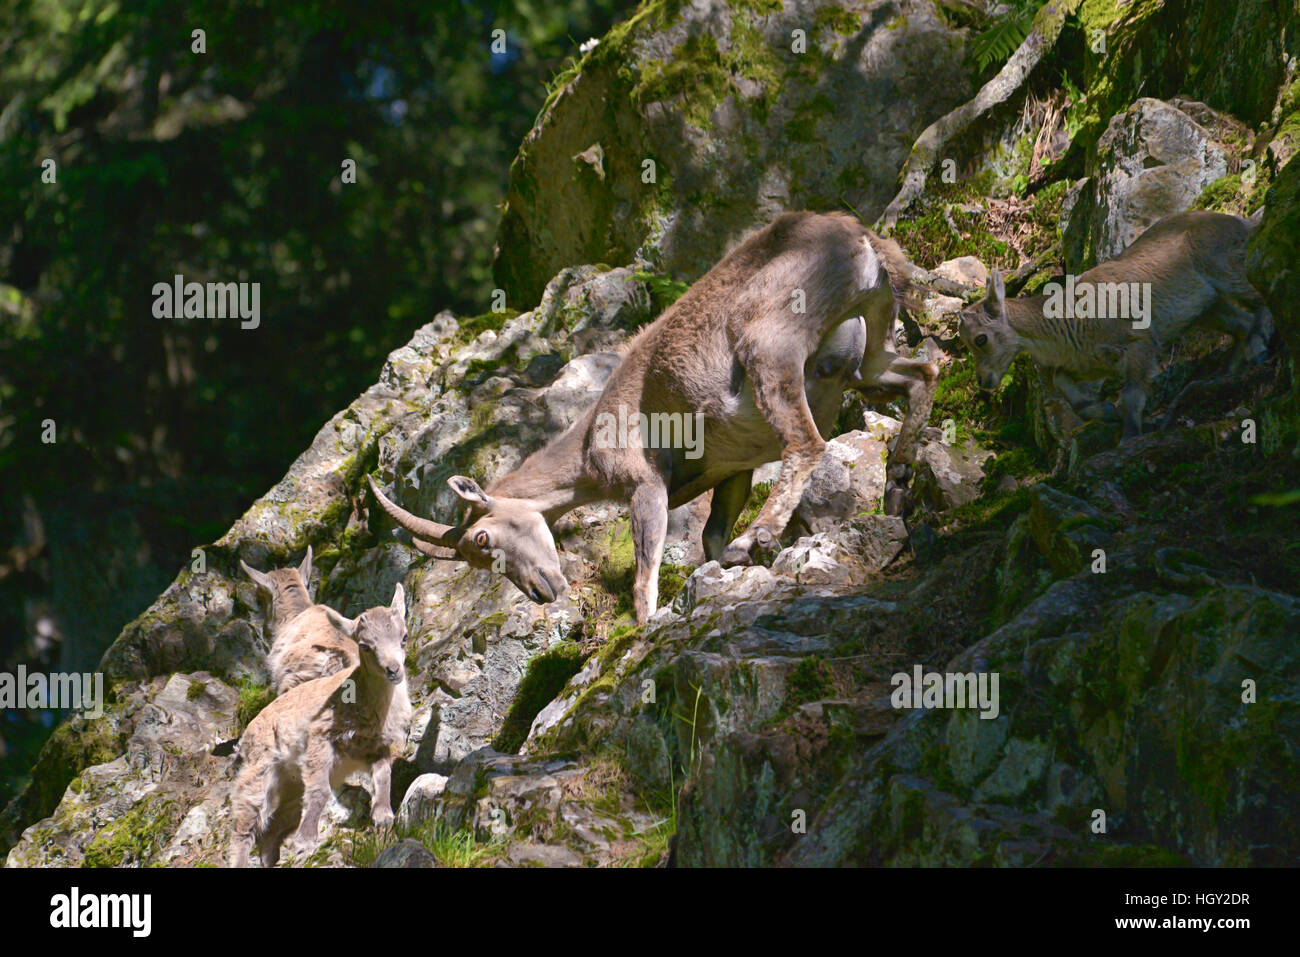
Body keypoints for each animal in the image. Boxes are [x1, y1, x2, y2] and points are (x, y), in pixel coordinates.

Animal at [228, 584, 411, 868]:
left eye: (404, 637)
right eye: (365, 646)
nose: (393, 670)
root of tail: (246, 735)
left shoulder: (375, 748)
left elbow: (383, 776)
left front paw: (383, 818)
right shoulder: (320, 737)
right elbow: (320, 791)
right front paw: (305, 843)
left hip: (291, 785)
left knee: (271, 831)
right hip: (258, 772)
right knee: (244, 829)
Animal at [369, 210, 937, 622]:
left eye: (482, 539)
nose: (543, 592)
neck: (588, 447)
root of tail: (860, 238)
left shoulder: (645, 485)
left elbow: (645, 575)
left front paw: (645, 625)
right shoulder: (734, 468)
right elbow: (710, 538)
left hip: (771, 346)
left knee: (807, 442)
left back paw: (759, 536)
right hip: (869, 348)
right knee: (920, 374)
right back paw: (898, 482)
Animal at [958, 210, 1272, 439]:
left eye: (980, 338)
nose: (983, 381)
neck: (1070, 319)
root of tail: (1241, 223)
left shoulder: (1139, 340)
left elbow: (1131, 395)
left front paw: (1130, 436)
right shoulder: (1088, 362)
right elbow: (1070, 392)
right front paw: (1108, 412)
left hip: (1224, 269)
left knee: (1260, 297)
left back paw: (1259, 350)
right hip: (1209, 308)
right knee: (1243, 323)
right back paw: (1230, 370)